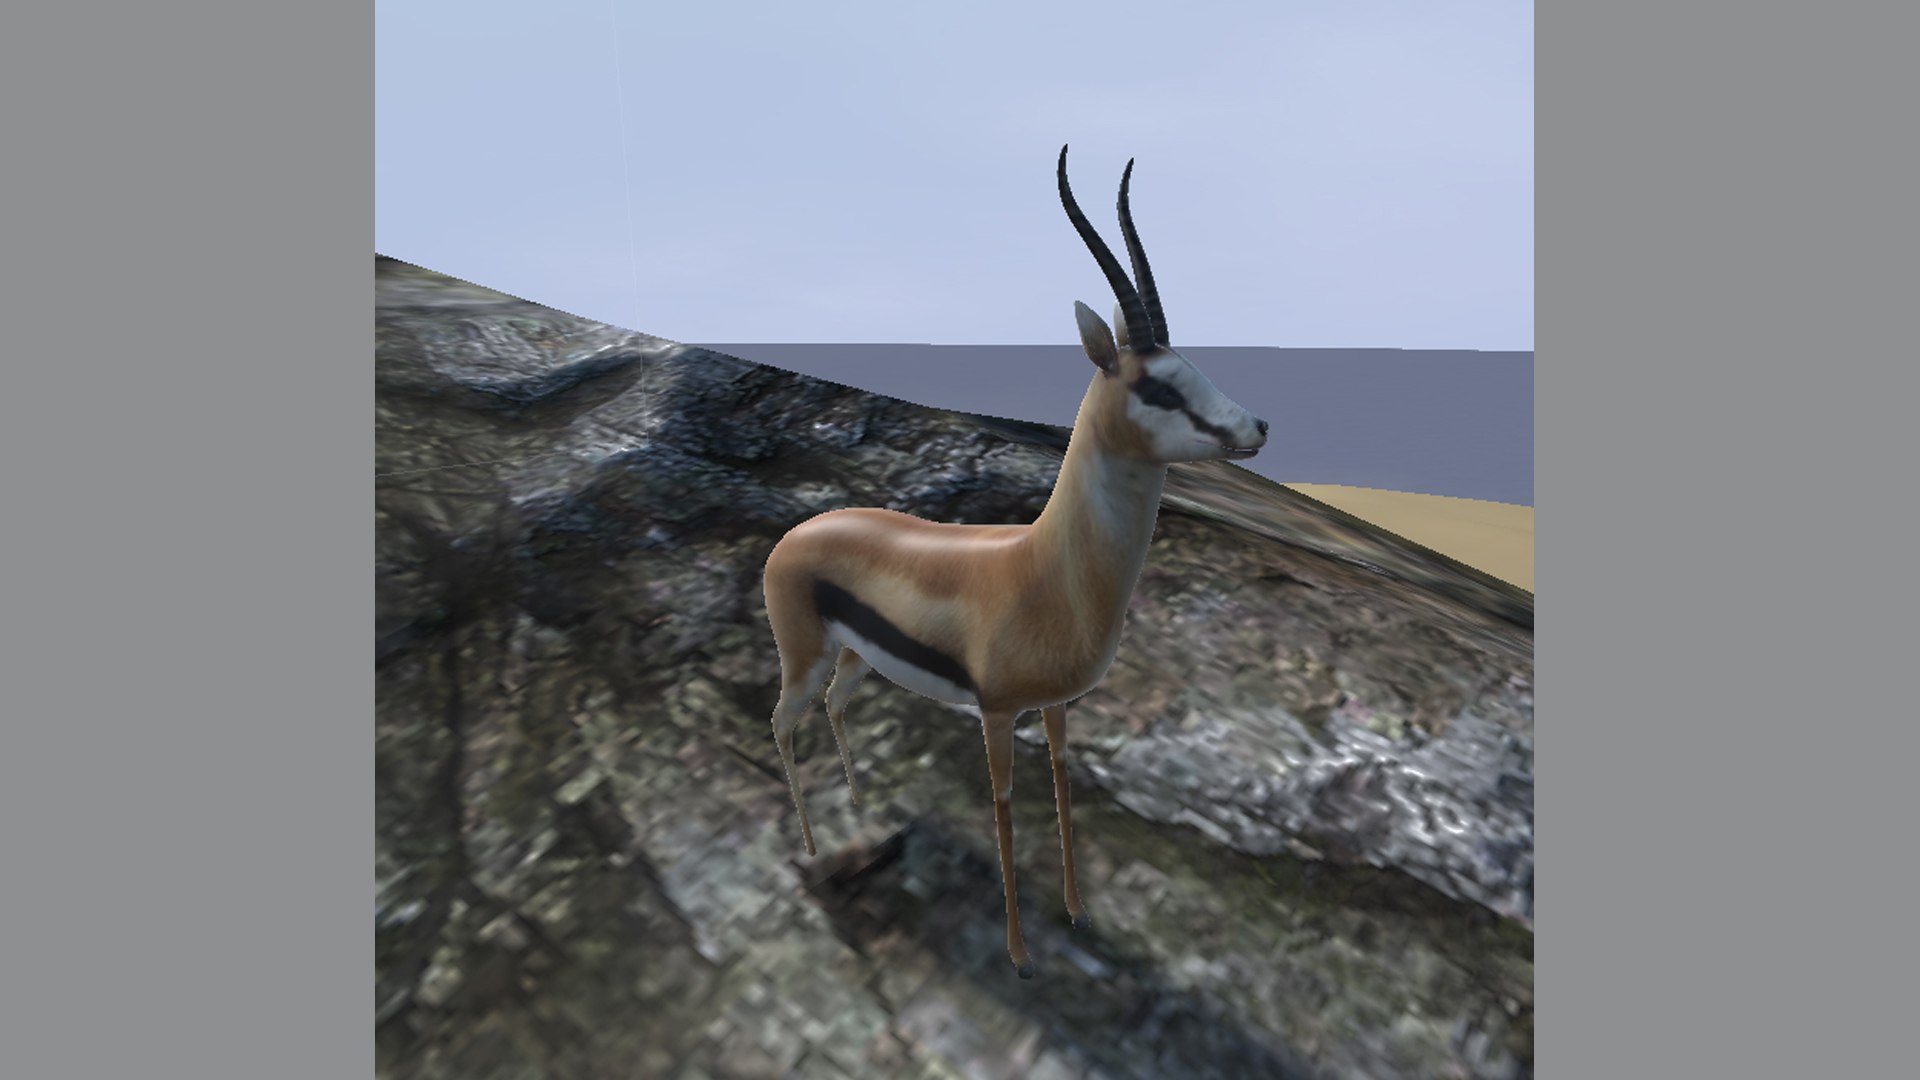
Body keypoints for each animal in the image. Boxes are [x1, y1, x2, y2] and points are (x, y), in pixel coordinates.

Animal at [761, 145, 1269, 978]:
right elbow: (1000, 806)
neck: (1046, 571)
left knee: (834, 705)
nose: (1256, 426)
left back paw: (861, 807)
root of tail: (796, 534)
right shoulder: (997, 714)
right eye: (1156, 385)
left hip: (856, 659)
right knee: (779, 722)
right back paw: (809, 847)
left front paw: (1076, 908)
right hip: (801, 658)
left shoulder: (1057, 706)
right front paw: (1020, 952)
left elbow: (1062, 776)